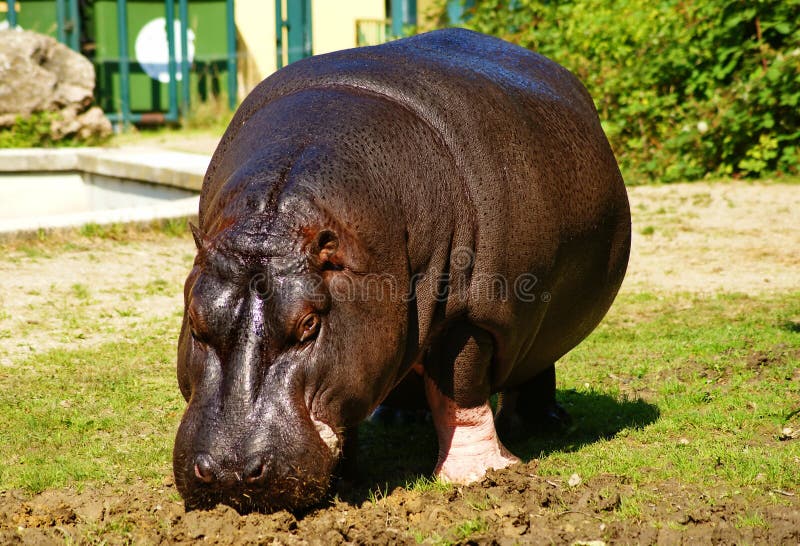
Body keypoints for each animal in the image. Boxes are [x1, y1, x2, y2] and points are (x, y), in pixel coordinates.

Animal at [173, 28, 631, 513]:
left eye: (309, 324)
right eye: (195, 322)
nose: (231, 472)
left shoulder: (473, 317)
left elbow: (462, 388)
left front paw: (482, 475)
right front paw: (347, 479)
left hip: (539, 323)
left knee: (535, 366)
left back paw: (545, 423)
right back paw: (397, 418)